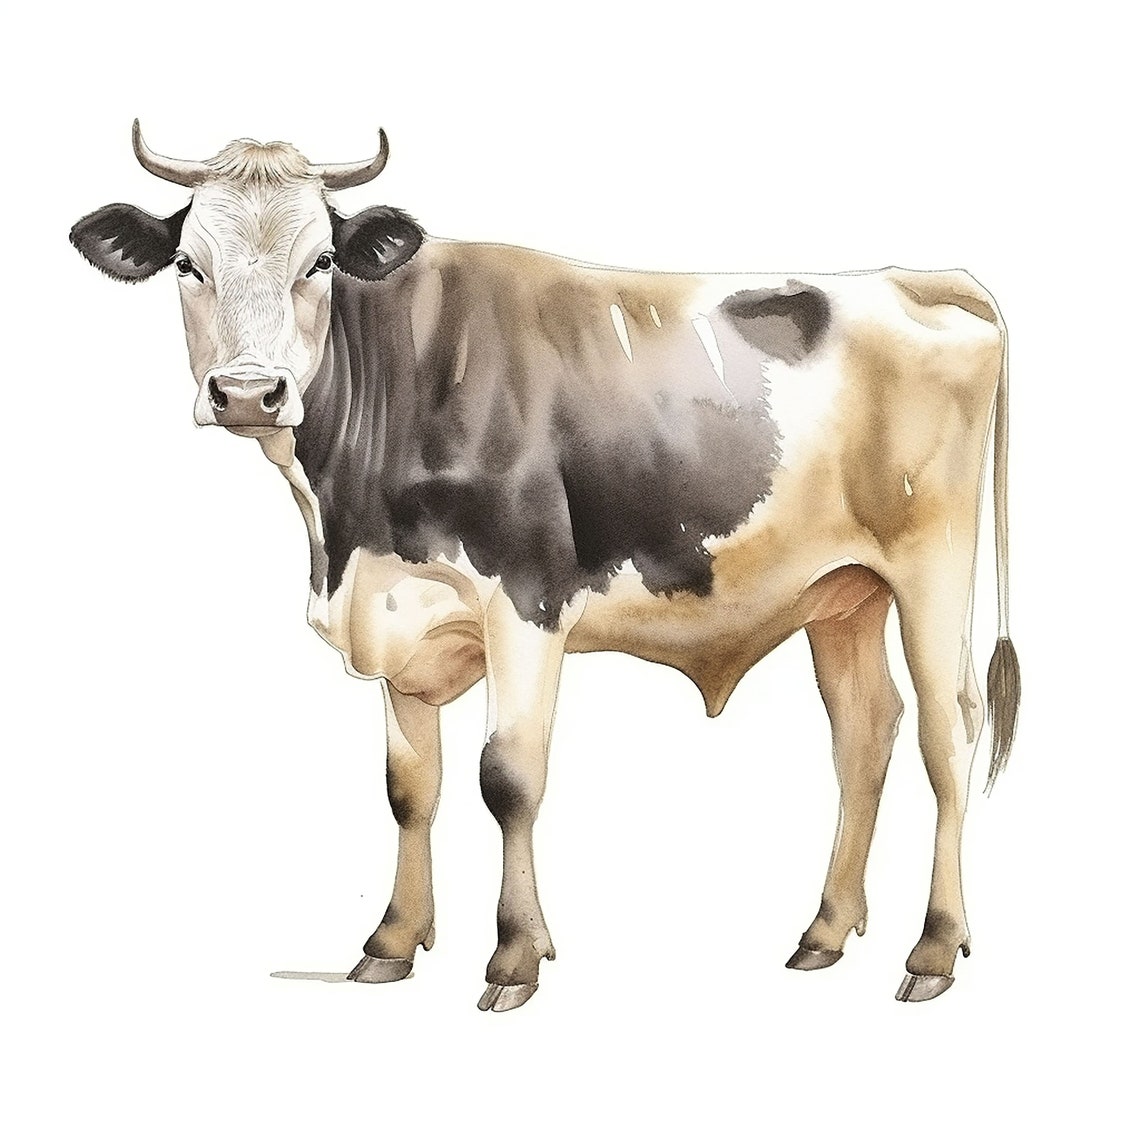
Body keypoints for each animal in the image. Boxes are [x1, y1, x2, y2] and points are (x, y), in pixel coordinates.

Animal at [70, 123, 1020, 1010]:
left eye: (323, 261)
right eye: (188, 263)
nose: (247, 393)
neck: (347, 522)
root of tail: (921, 277)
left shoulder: (526, 601)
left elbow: (508, 779)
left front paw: (515, 956)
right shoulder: (400, 610)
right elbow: (409, 788)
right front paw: (391, 942)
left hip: (932, 565)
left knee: (948, 729)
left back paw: (935, 949)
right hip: (842, 591)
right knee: (864, 731)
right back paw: (824, 931)